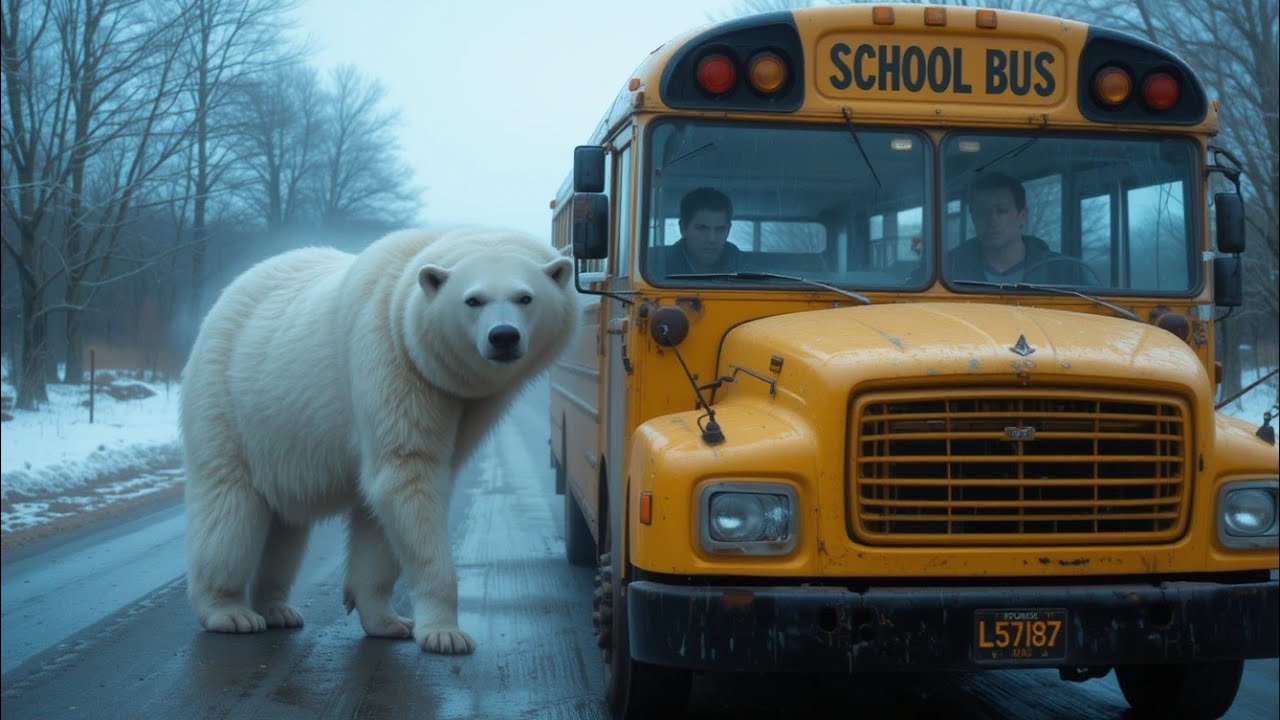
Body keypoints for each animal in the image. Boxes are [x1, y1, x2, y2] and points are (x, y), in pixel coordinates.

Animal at [180, 226, 576, 654]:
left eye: (525, 297)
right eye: (473, 299)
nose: (503, 337)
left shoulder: (467, 403)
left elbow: (382, 513)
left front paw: (390, 621)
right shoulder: (391, 359)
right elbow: (407, 475)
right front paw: (446, 634)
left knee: (285, 522)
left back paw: (278, 609)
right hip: (227, 400)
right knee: (229, 507)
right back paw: (230, 612)